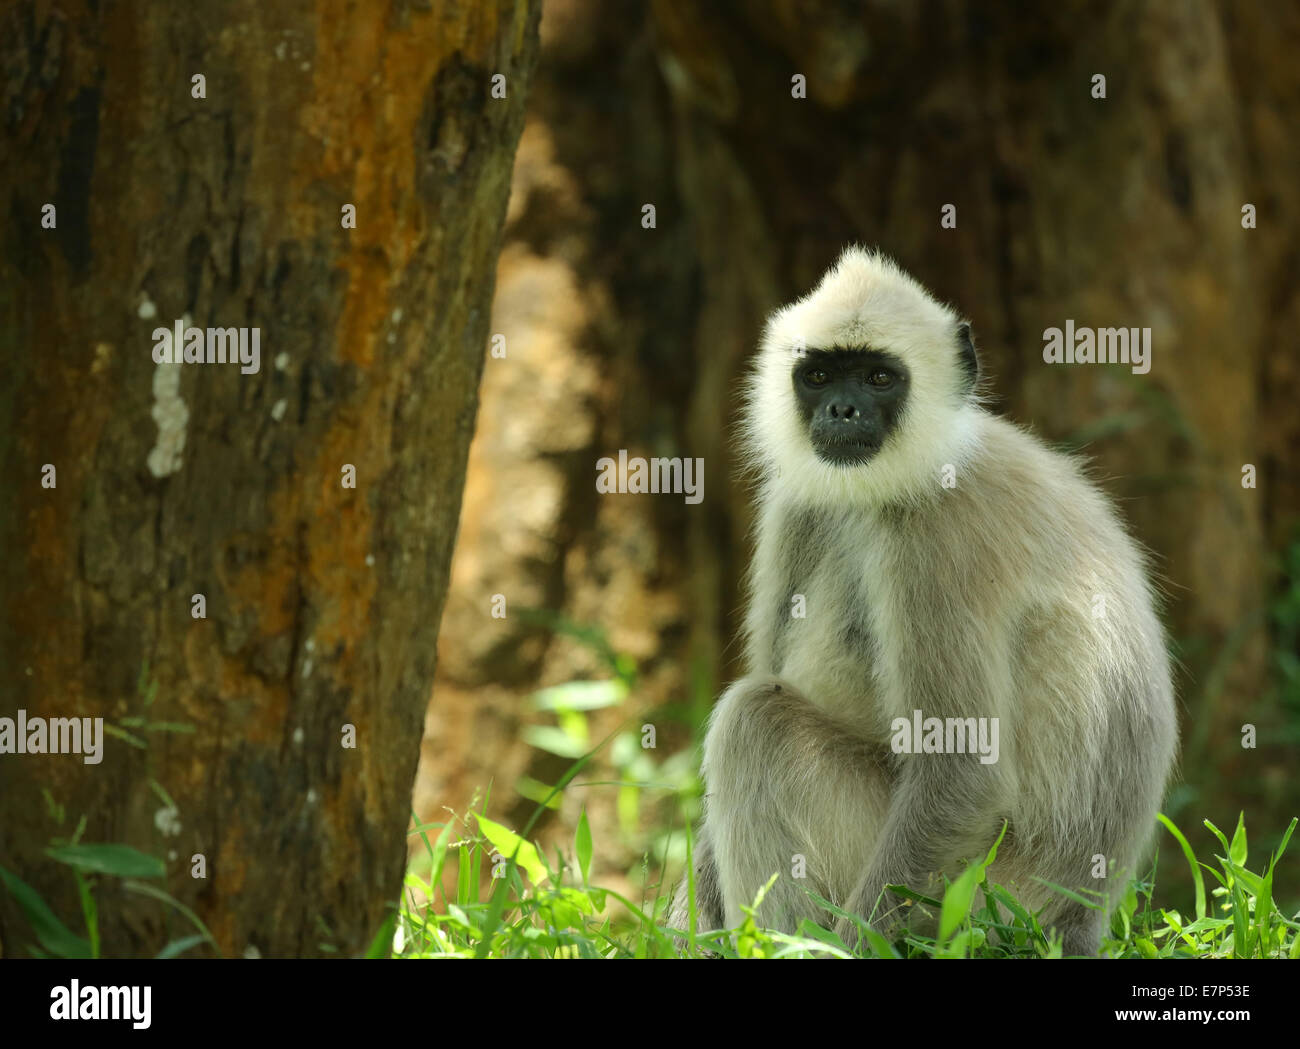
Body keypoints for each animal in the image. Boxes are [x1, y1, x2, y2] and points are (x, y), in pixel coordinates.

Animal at [668, 247, 1178, 957]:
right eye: (819, 376)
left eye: (879, 378)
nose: (843, 411)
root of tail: (1079, 916)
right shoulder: (797, 505)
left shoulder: (940, 537)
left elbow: (962, 775)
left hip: (982, 903)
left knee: (756, 721)